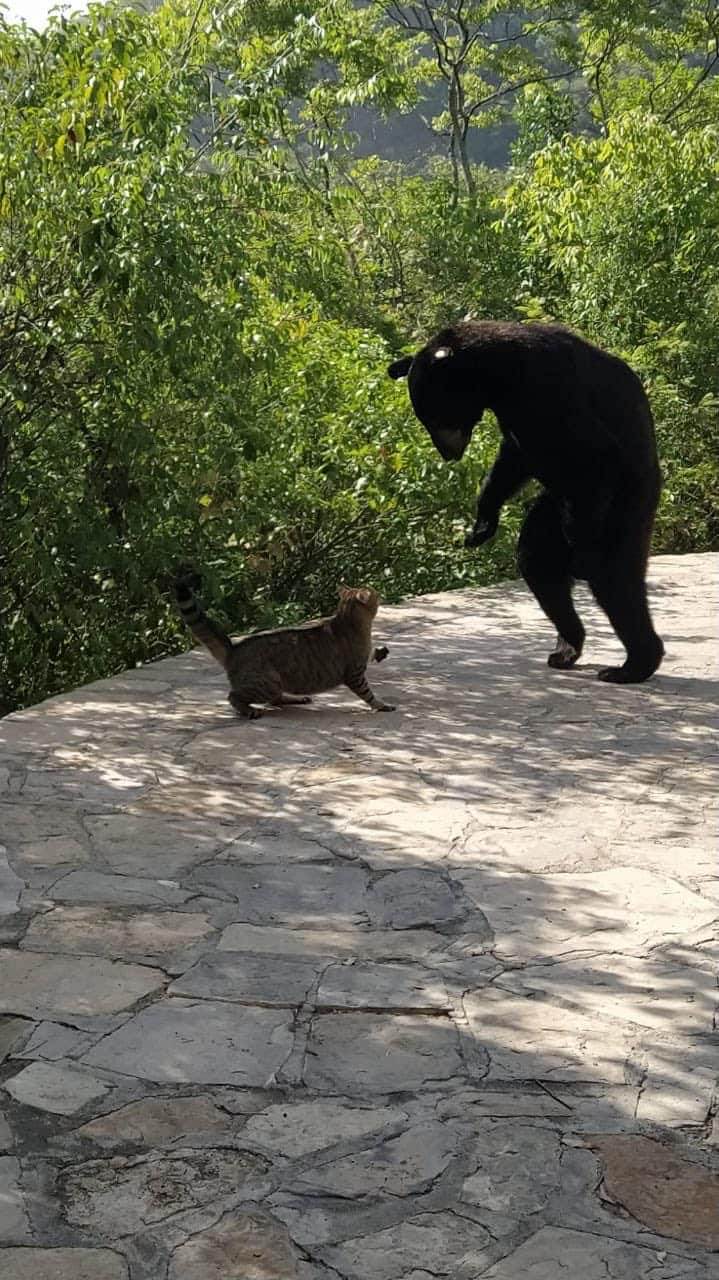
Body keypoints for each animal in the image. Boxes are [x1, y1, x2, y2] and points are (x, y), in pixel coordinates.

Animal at [388, 320, 664, 684]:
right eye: (426, 419)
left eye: (436, 416)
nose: (448, 453)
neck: (497, 375)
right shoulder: (515, 416)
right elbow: (513, 459)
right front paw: (482, 525)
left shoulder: (546, 387)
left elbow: (596, 453)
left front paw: (581, 554)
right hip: (553, 508)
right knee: (538, 559)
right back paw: (567, 647)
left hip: (624, 502)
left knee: (614, 577)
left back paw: (633, 664)